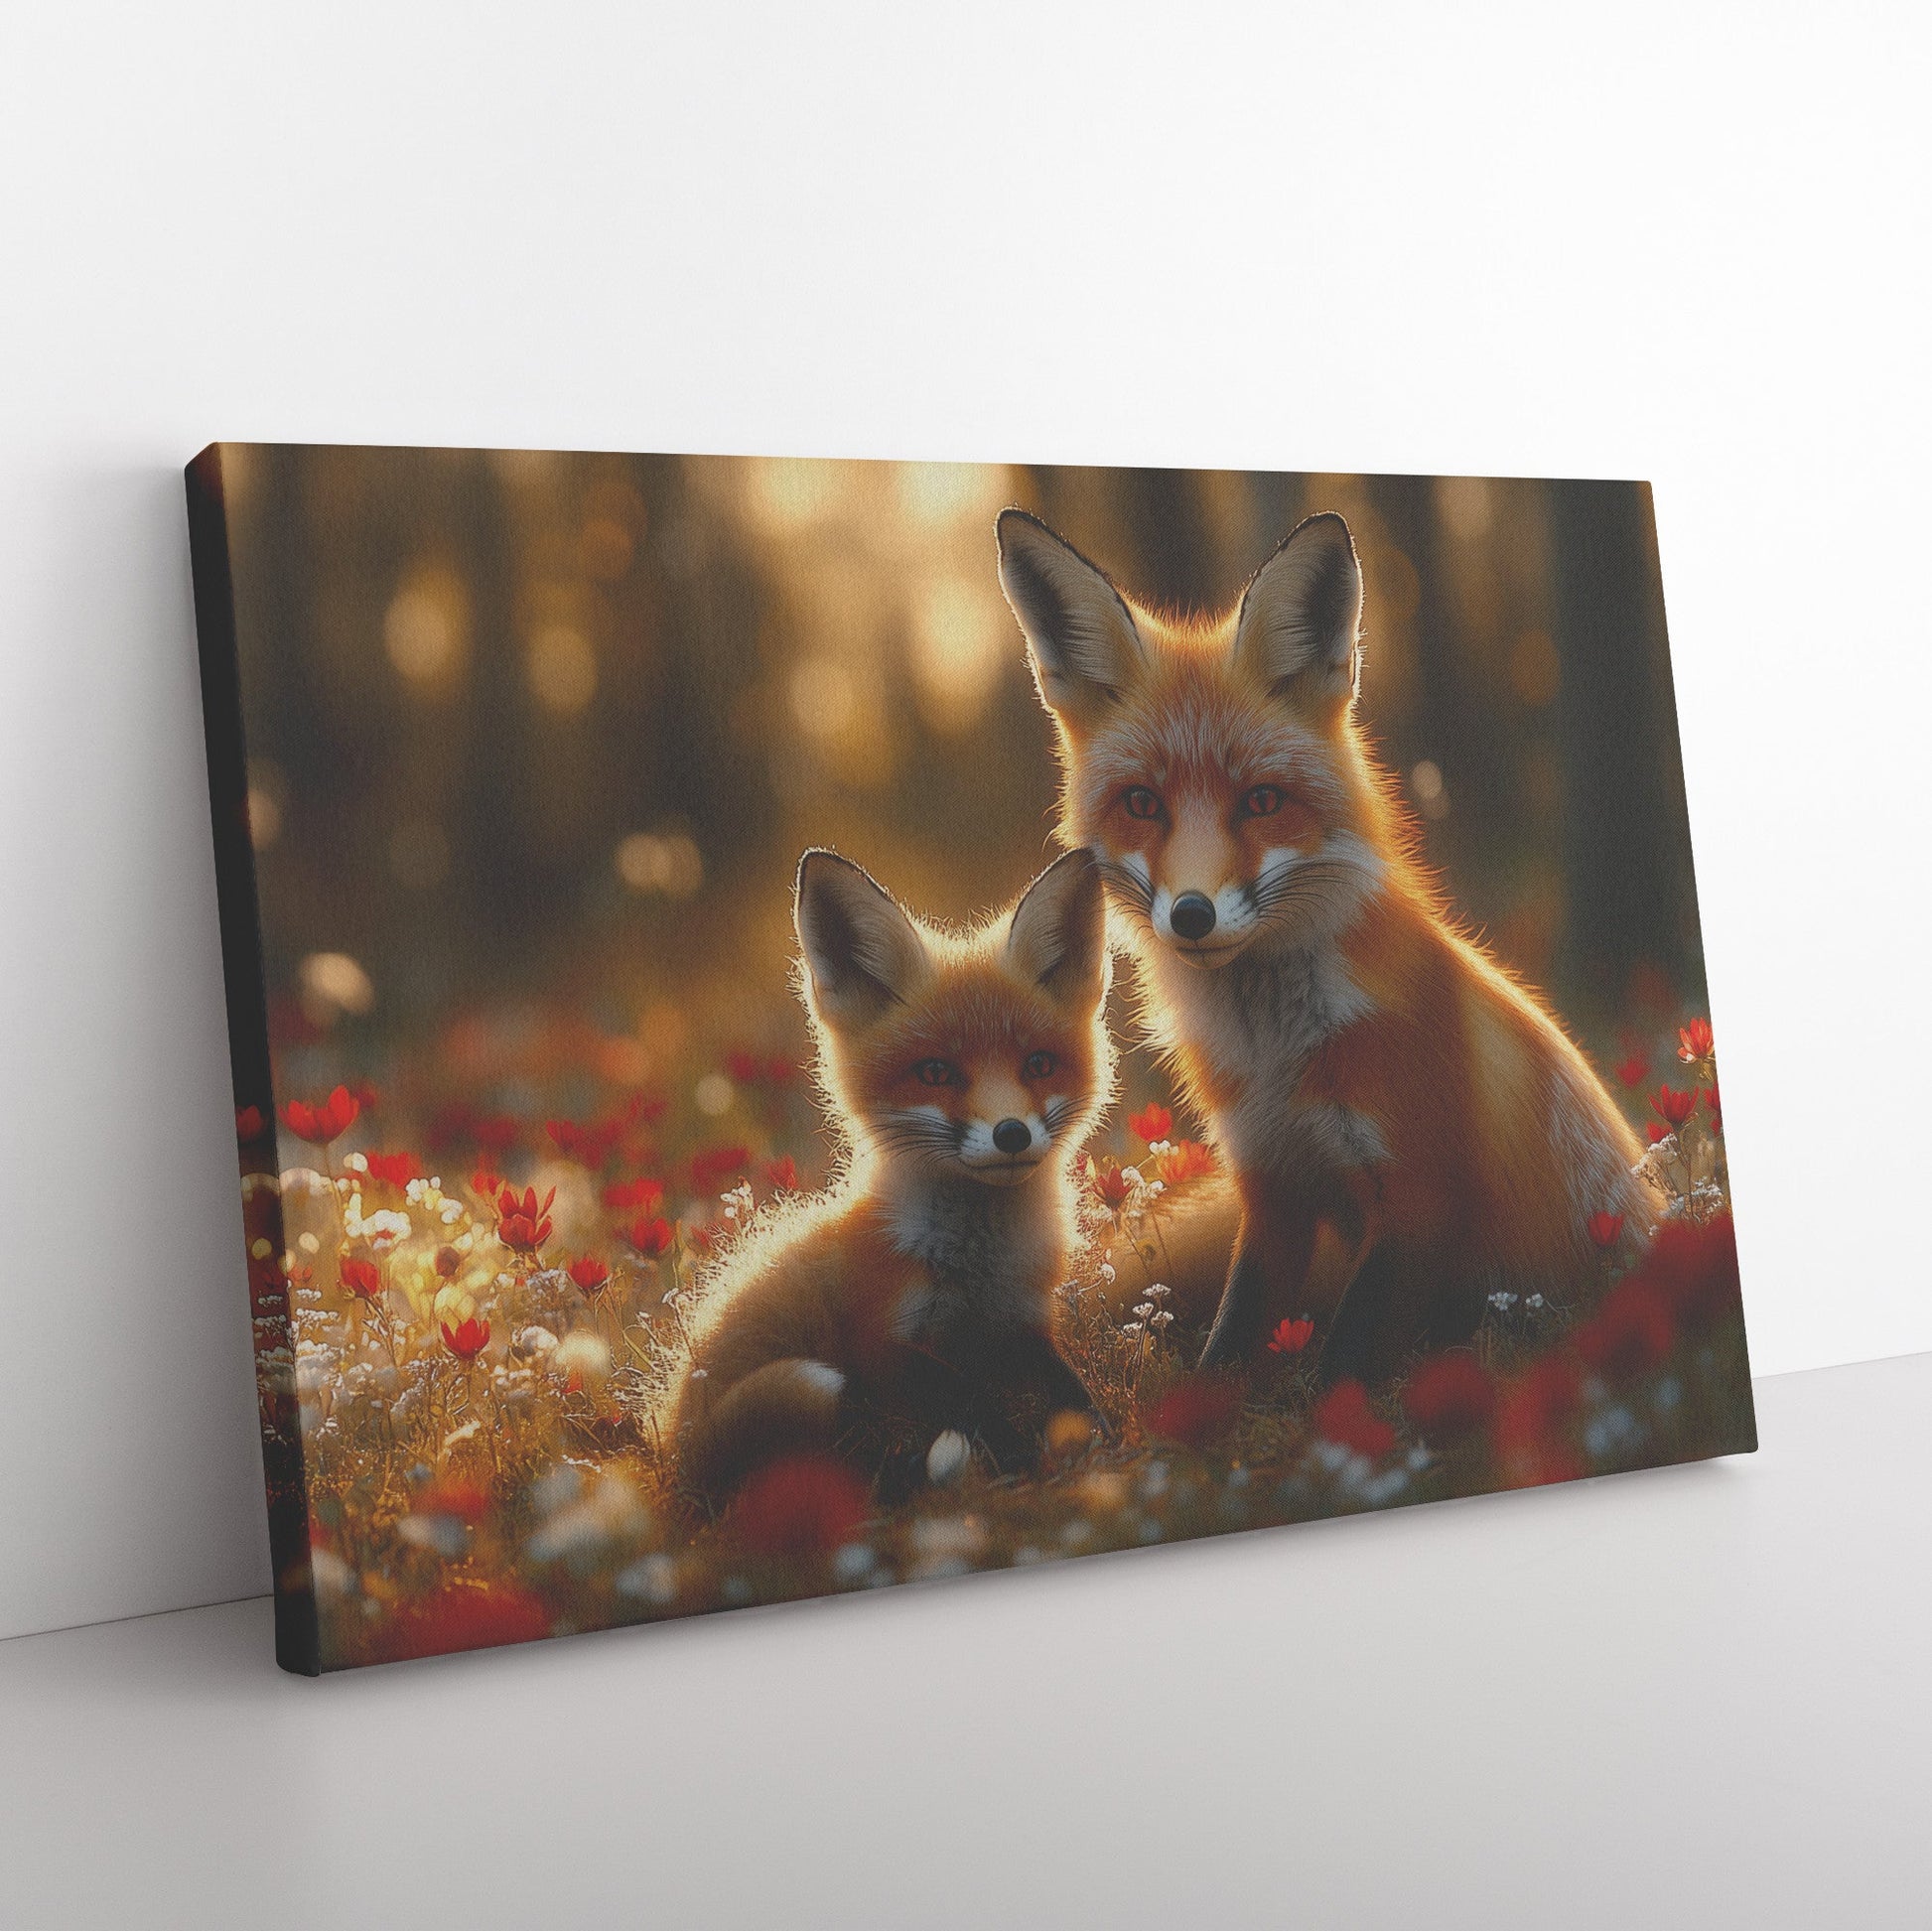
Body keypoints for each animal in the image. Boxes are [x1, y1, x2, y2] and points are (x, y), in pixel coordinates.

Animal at [666, 845, 1112, 1508]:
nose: (1011, 1133)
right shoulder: (880, 1343)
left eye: (1038, 1064)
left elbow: (1072, 1395)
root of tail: (671, 1460)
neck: (978, 1266)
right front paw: (1024, 1464)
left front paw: (1109, 1444)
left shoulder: (1023, 1320)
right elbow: (974, 1405)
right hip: (813, 1390)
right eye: (935, 1072)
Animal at [996, 506, 1657, 1384]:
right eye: (1142, 804)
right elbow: (1232, 1339)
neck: (1279, 1054)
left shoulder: (1417, 1198)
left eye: (1261, 801)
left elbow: (1339, 1367)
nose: (1192, 915)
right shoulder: (1270, 1187)